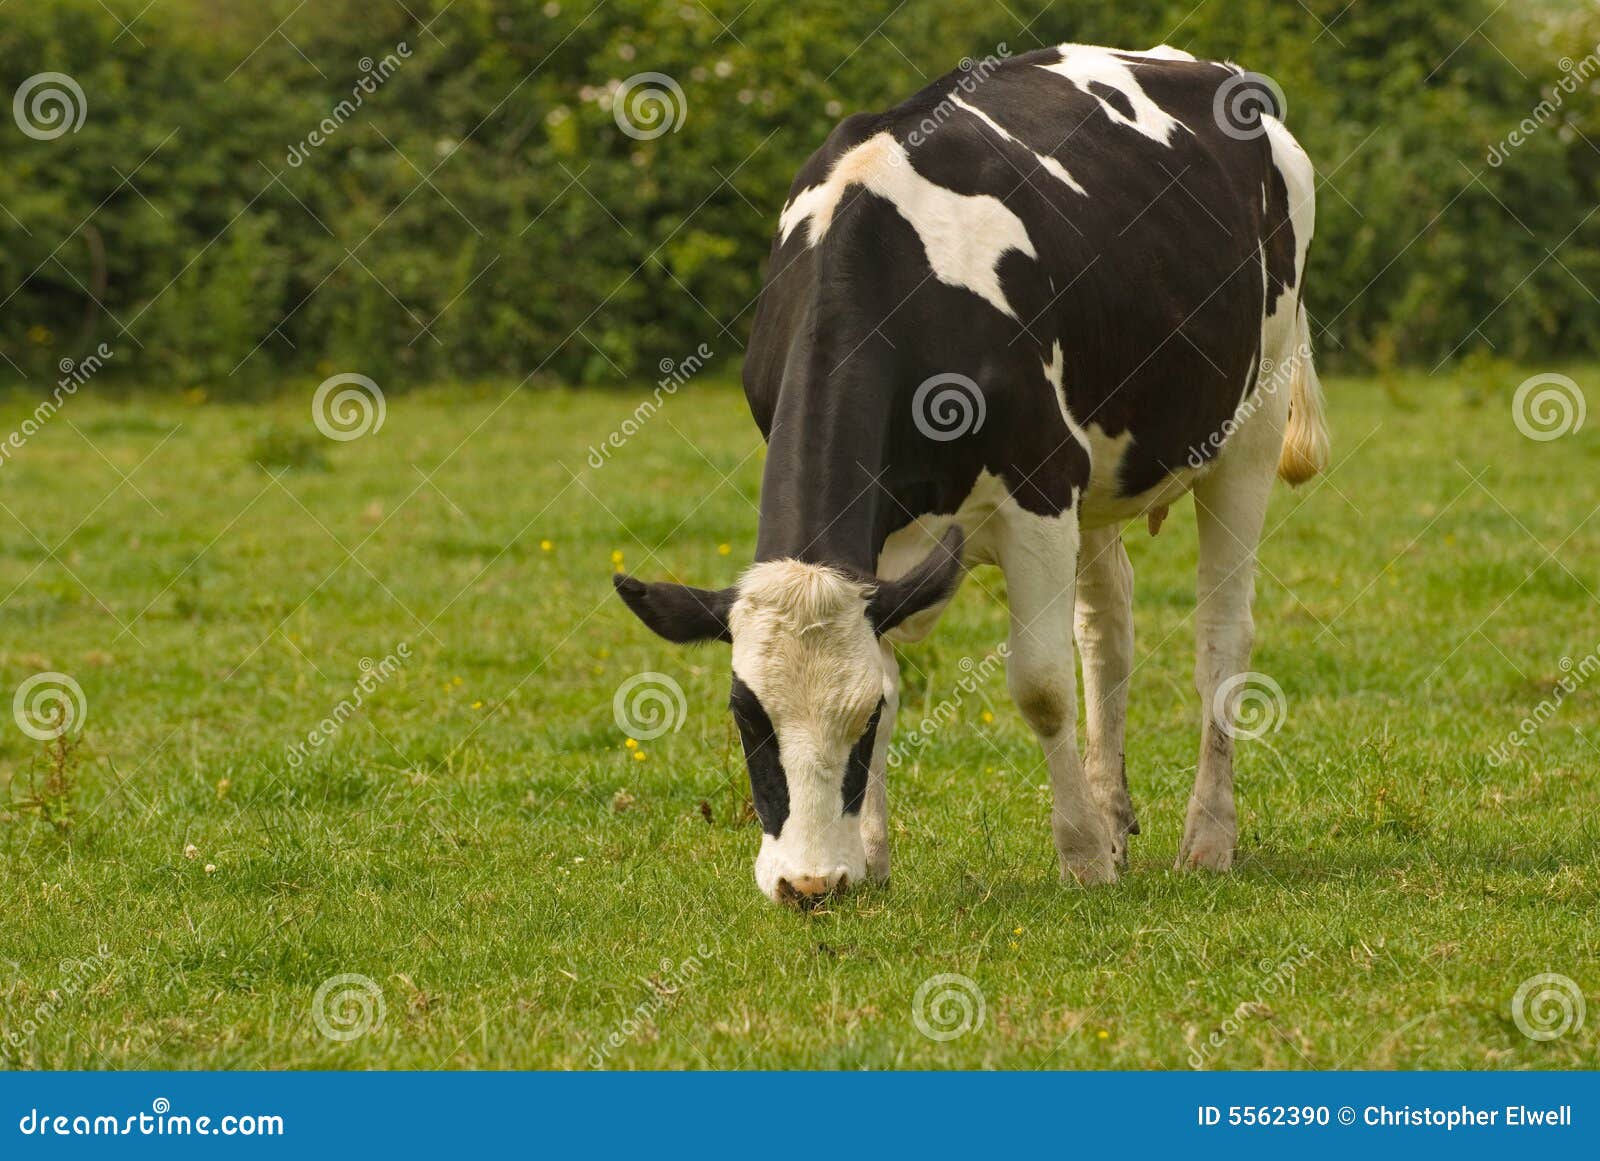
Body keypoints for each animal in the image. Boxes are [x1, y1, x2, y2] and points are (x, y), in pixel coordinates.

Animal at [614, 42, 1329, 907]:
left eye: (856, 722)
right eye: (748, 717)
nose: (809, 883)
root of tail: (1202, 65)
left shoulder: (1039, 484)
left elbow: (1043, 685)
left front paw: (1080, 856)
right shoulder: (890, 535)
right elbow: (906, 661)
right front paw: (875, 857)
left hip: (1248, 428)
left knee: (1221, 637)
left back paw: (1208, 838)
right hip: (1099, 472)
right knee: (1109, 629)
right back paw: (1115, 815)